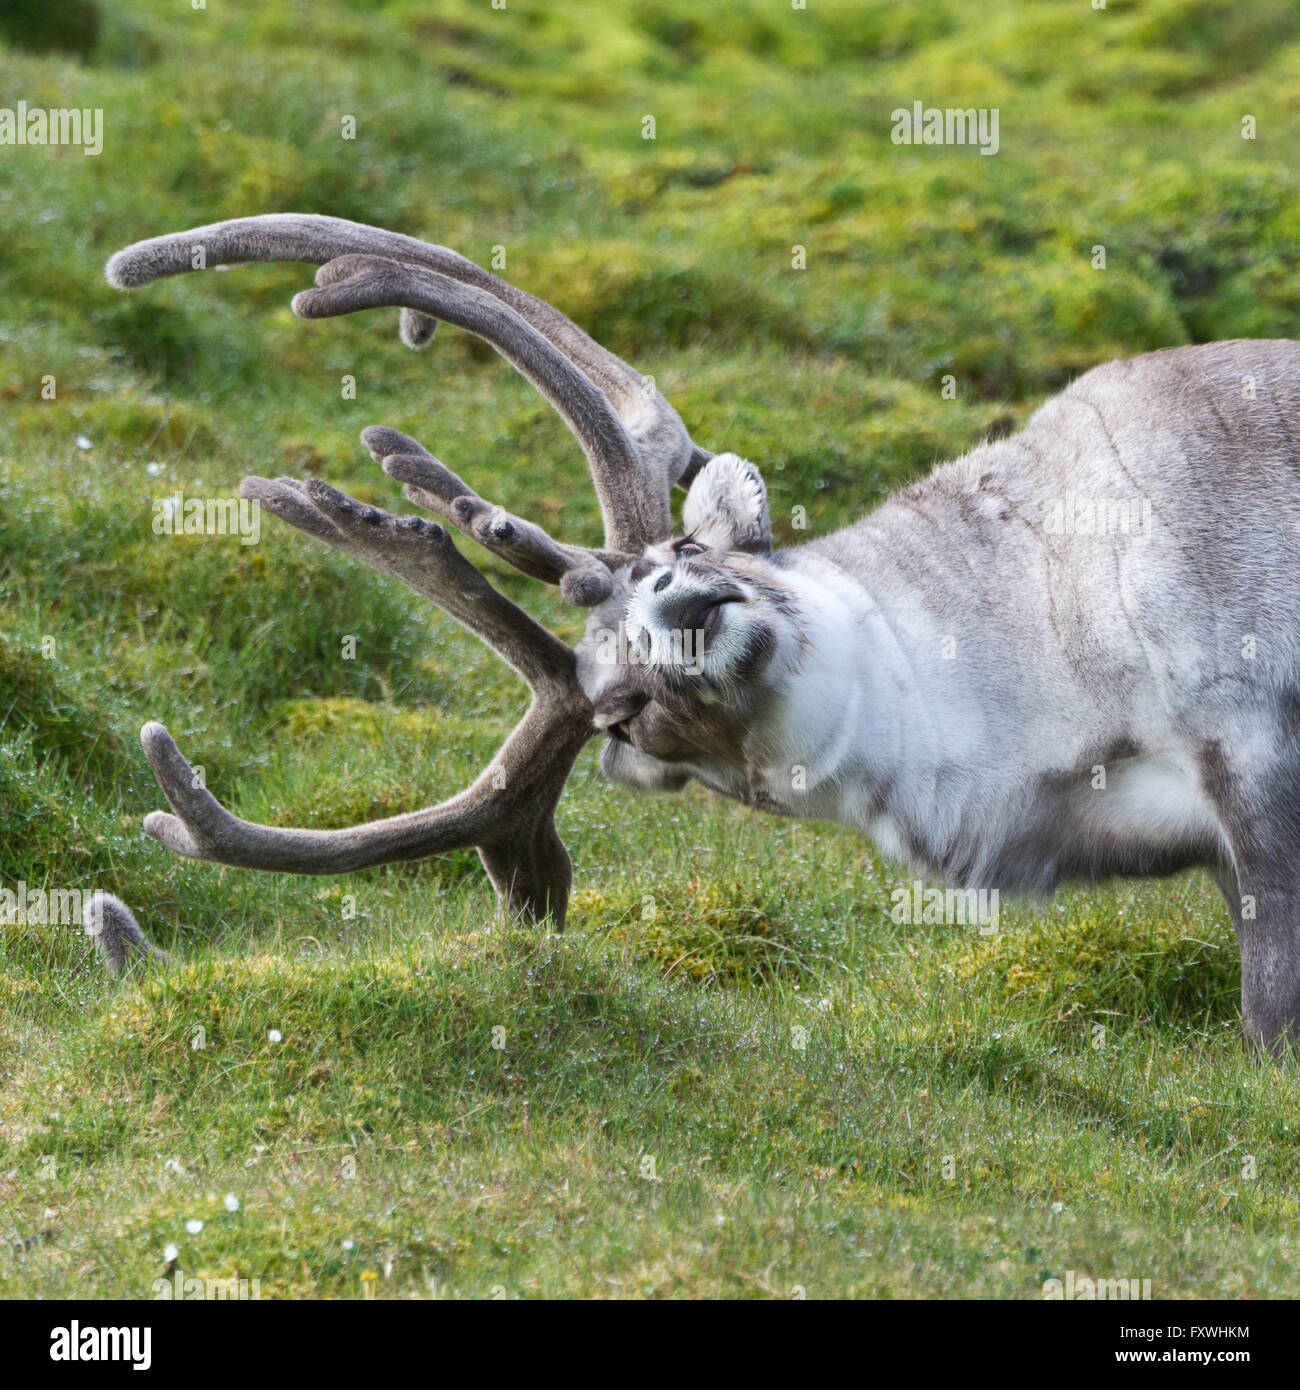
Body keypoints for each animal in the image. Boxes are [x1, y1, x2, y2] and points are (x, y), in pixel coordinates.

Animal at [96, 214, 1300, 1058]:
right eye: (620, 708)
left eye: (681, 547)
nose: (681, 605)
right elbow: (1262, 1017)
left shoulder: (1248, 742)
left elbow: (1267, 1011)